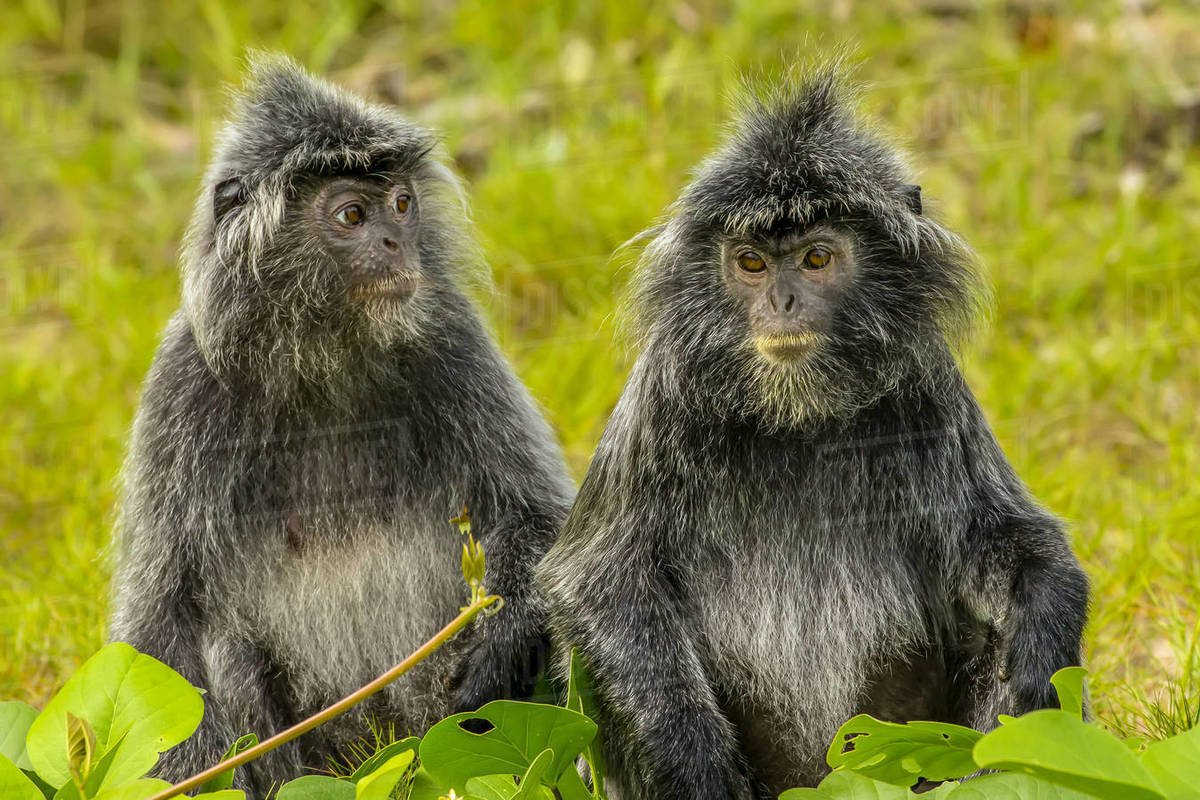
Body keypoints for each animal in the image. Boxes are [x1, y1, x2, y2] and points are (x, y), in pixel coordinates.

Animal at [108, 55, 573, 796]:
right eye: (352, 214)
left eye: (402, 205)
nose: (396, 242)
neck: (321, 359)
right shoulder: (183, 388)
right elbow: (160, 628)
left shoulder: (453, 342)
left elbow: (542, 519)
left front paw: (501, 644)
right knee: (224, 646)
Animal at [536, 65, 1089, 799]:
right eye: (751, 264)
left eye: (817, 258)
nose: (783, 302)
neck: (798, 413)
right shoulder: (663, 398)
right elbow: (599, 580)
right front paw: (695, 763)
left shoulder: (929, 389)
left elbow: (1016, 543)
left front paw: (1045, 635)